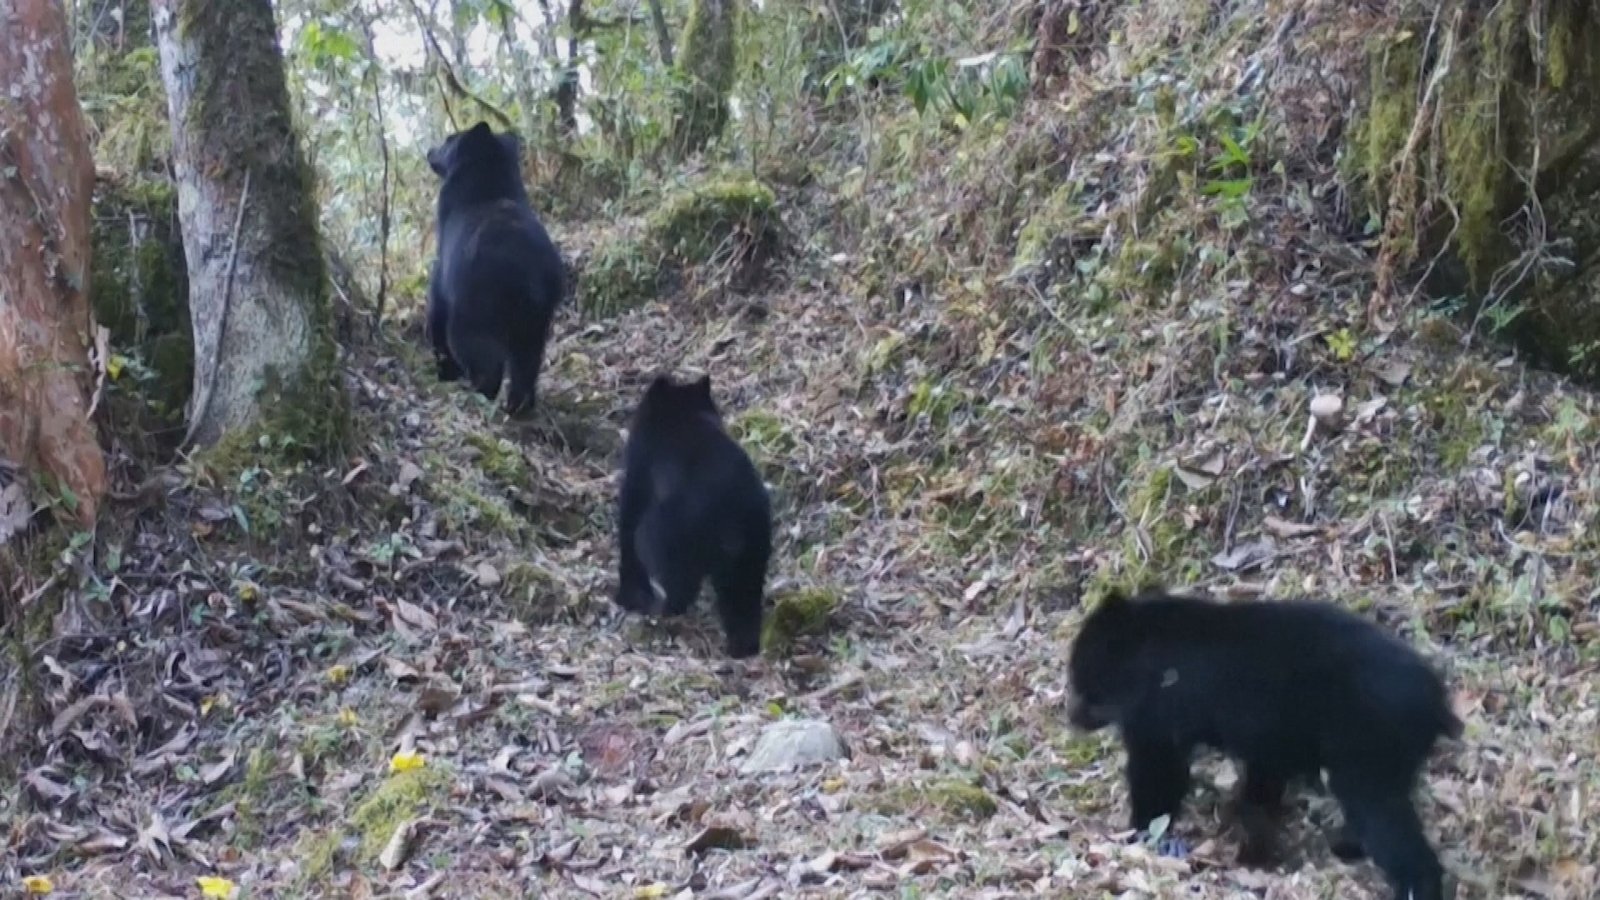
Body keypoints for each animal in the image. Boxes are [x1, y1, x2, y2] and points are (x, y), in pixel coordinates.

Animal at [425, 121, 563, 415]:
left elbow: (436, 309)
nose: (429, 150)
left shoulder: (444, 264)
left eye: (449, 139)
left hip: (477, 306)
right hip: (537, 317)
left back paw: (479, 391)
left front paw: (446, 371)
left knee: (478, 351)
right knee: (528, 359)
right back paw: (520, 404)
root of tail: (531, 274)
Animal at [613, 373, 772, 659]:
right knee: (743, 597)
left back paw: (658, 613)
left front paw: (627, 596)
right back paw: (742, 648)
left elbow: (627, 529)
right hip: (753, 547)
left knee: (677, 584)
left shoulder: (639, 475)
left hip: (671, 535)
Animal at [1066, 586, 1461, 900]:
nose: (1071, 718)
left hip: (1368, 743)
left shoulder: (1161, 712)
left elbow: (1157, 770)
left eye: (1084, 682)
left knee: (1382, 816)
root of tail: (1436, 700)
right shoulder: (1271, 737)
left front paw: (1140, 830)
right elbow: (1262, 784)